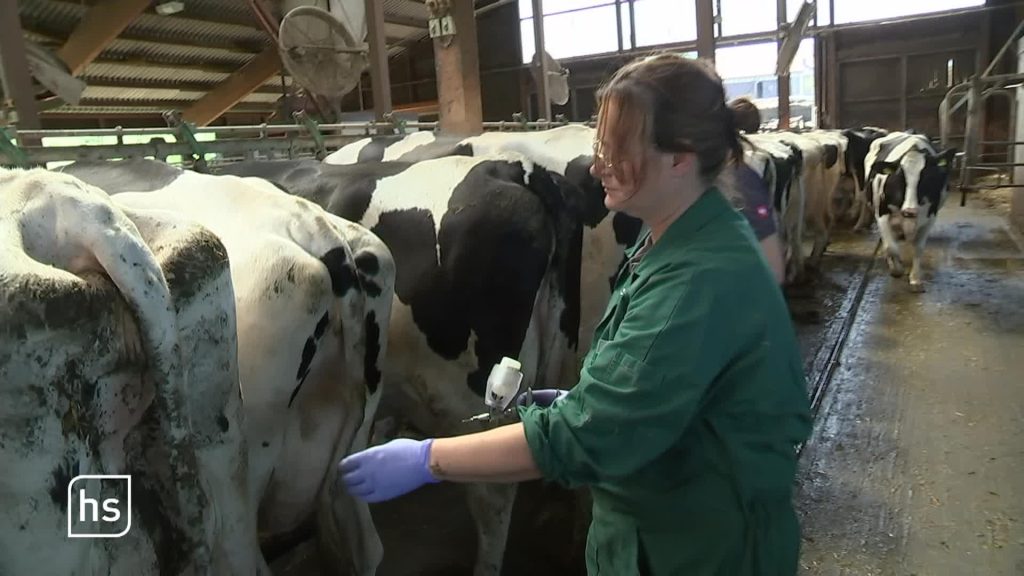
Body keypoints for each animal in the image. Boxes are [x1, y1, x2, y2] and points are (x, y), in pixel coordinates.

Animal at [868, 132, 954, 289]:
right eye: (899, 178)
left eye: (927, 177)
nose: (910, 211)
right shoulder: (881, 214)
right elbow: (891, 247)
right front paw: (896, 269)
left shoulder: (931, 217)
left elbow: (918, 248)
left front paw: (915, 278)